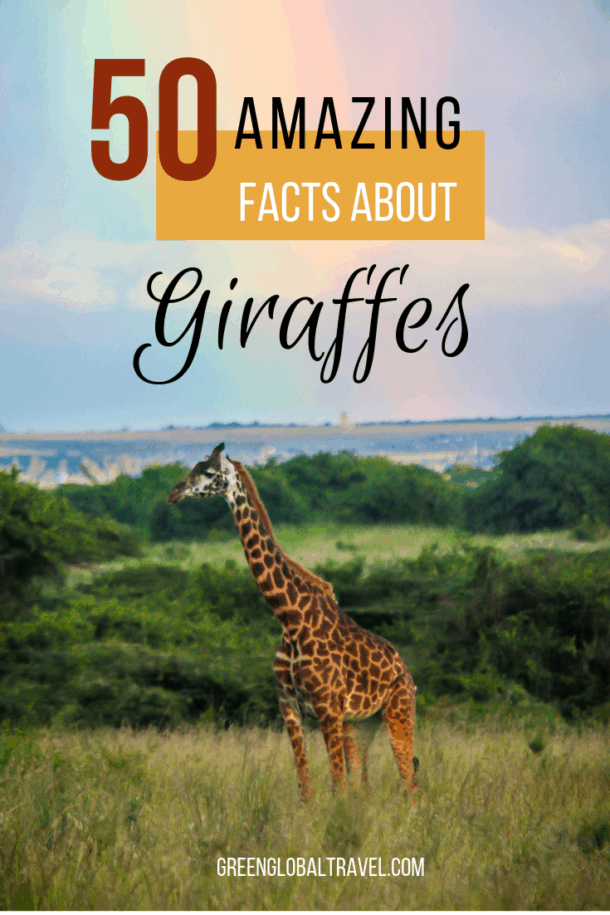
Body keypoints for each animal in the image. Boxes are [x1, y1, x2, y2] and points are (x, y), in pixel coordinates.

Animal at [167, 443, 417, 800]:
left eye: (210, 472)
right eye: (193, 467)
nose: (174, 493)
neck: (290, 619)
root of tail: (406, 671)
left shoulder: (328, 709)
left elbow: (336, 785)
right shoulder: (289, 708)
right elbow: (307, 788)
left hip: (399, 709)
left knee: (409, 782)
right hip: (361, 725)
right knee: (364, 783)